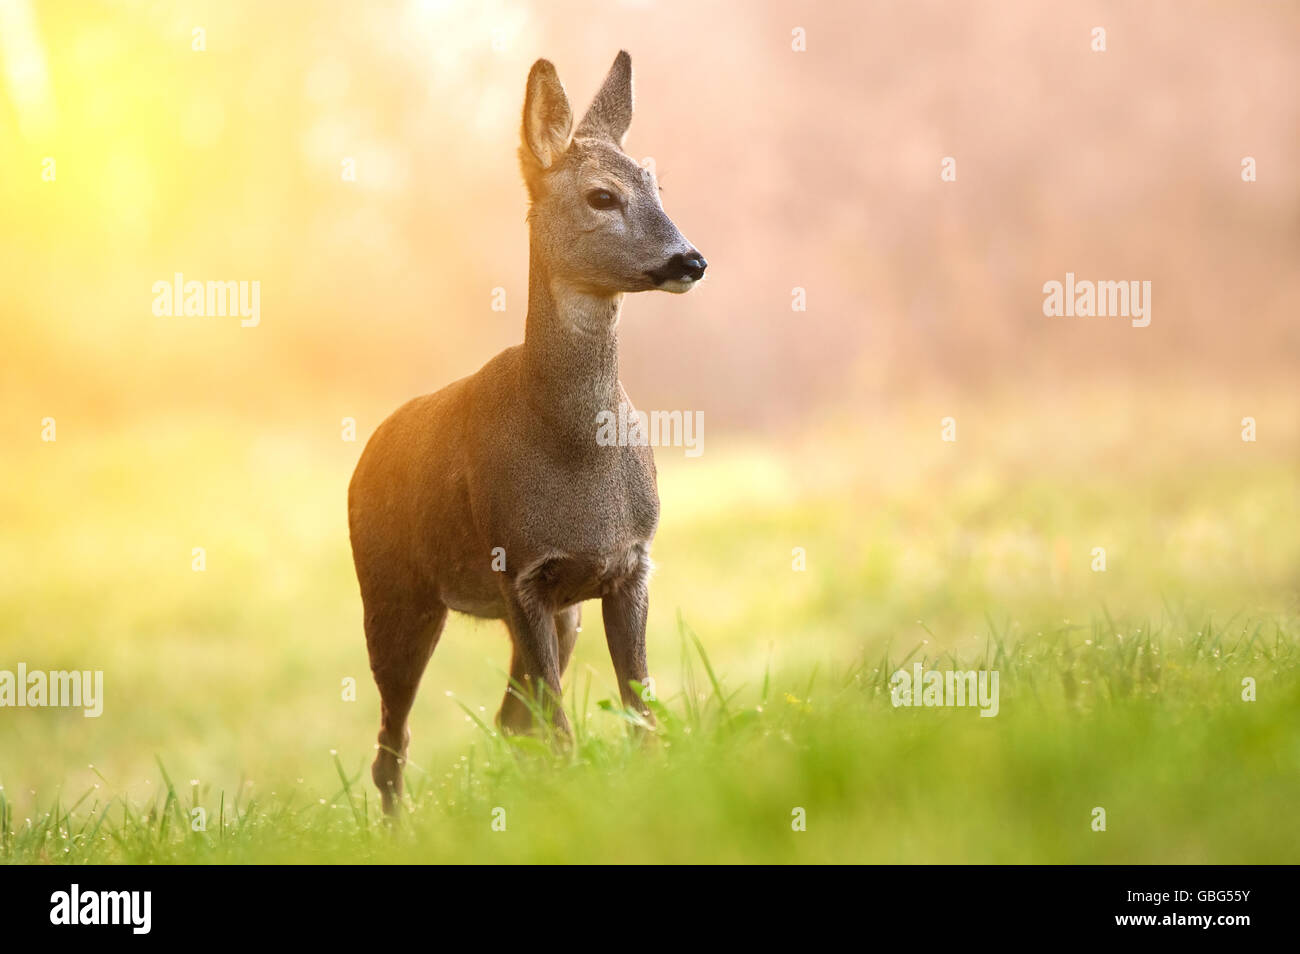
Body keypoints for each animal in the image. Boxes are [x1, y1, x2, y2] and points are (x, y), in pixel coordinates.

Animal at [347, 51, 707, 815]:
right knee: (394, 745)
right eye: (601, 197)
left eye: (656, 185)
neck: (573, 448)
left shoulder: (630, 563)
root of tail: (367, 453)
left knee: (509, 719)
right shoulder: (520, 568)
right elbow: (563, 728)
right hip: (393, 590)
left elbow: (639, 710)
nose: (691, 260)